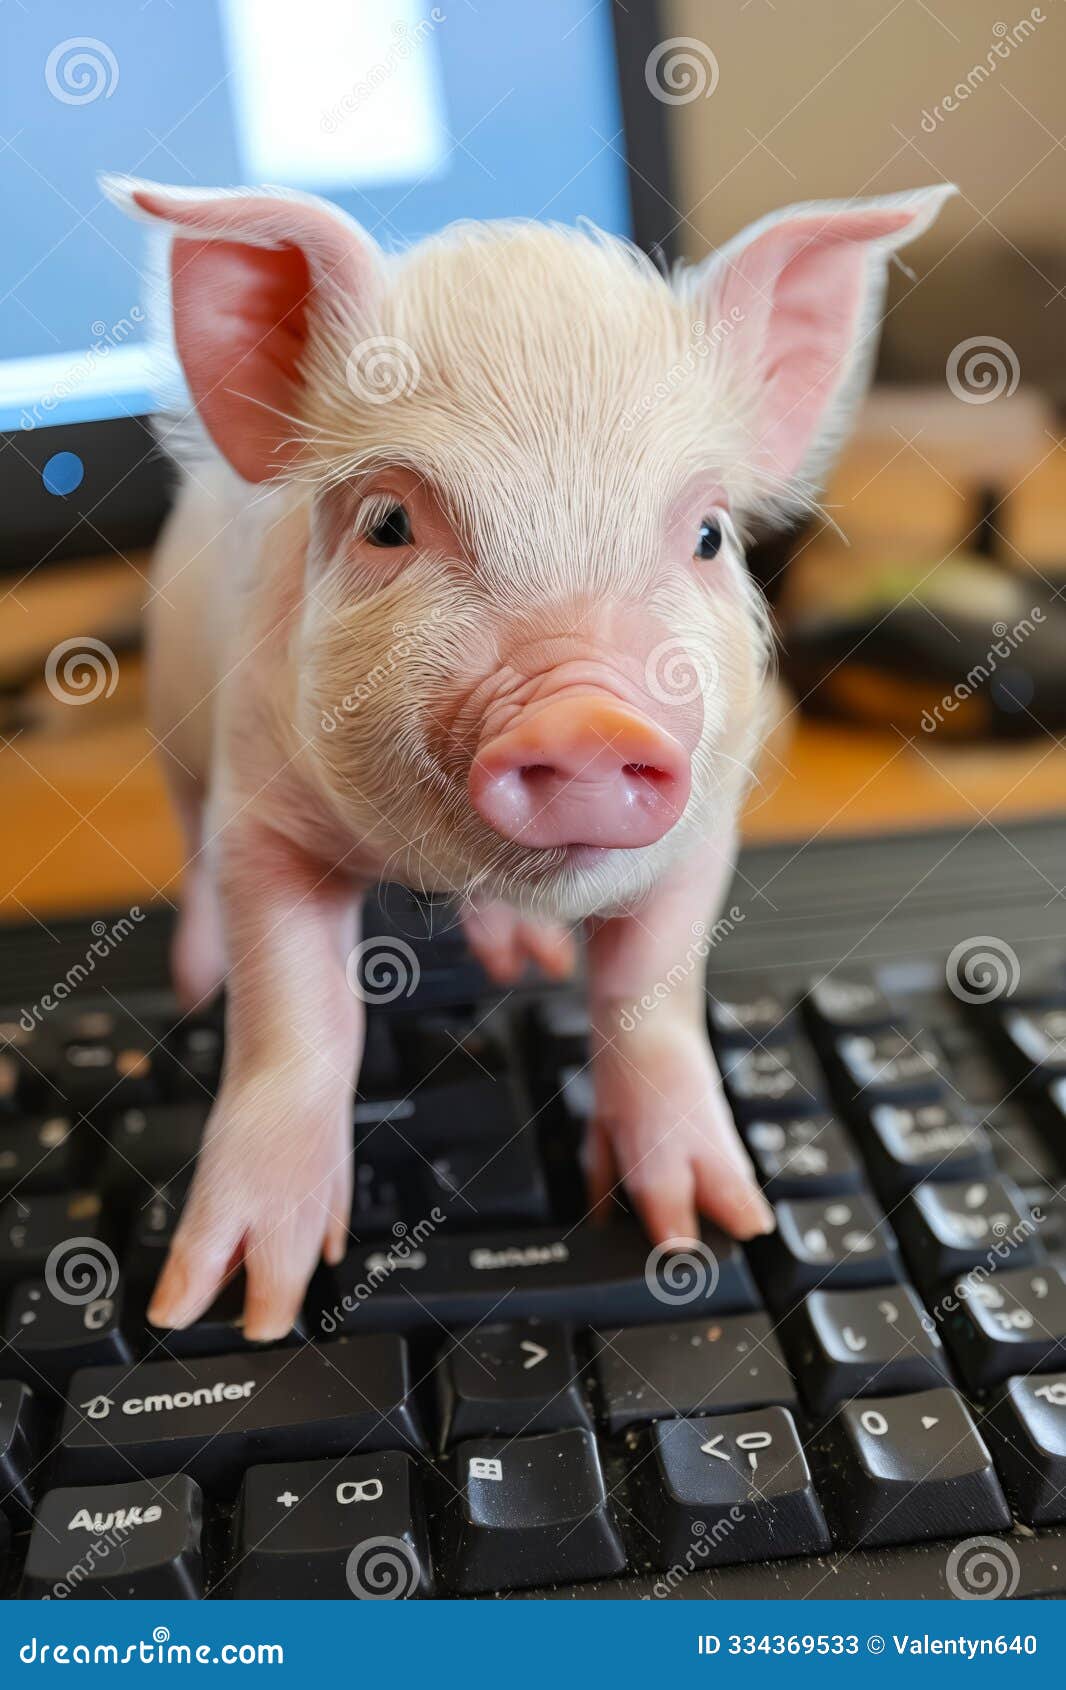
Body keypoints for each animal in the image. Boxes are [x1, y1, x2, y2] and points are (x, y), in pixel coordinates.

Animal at [102, 174, 953, 1340]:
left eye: (708, 536)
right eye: (387, 522)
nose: (589, 718)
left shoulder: (705, 829)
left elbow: (651, 996)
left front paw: (708, 1226)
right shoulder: (260, 799)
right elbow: (295, 1017)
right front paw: (232, 1307)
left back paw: (526, 958)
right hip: (171, 724)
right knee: (189, 846)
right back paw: (198, 978)